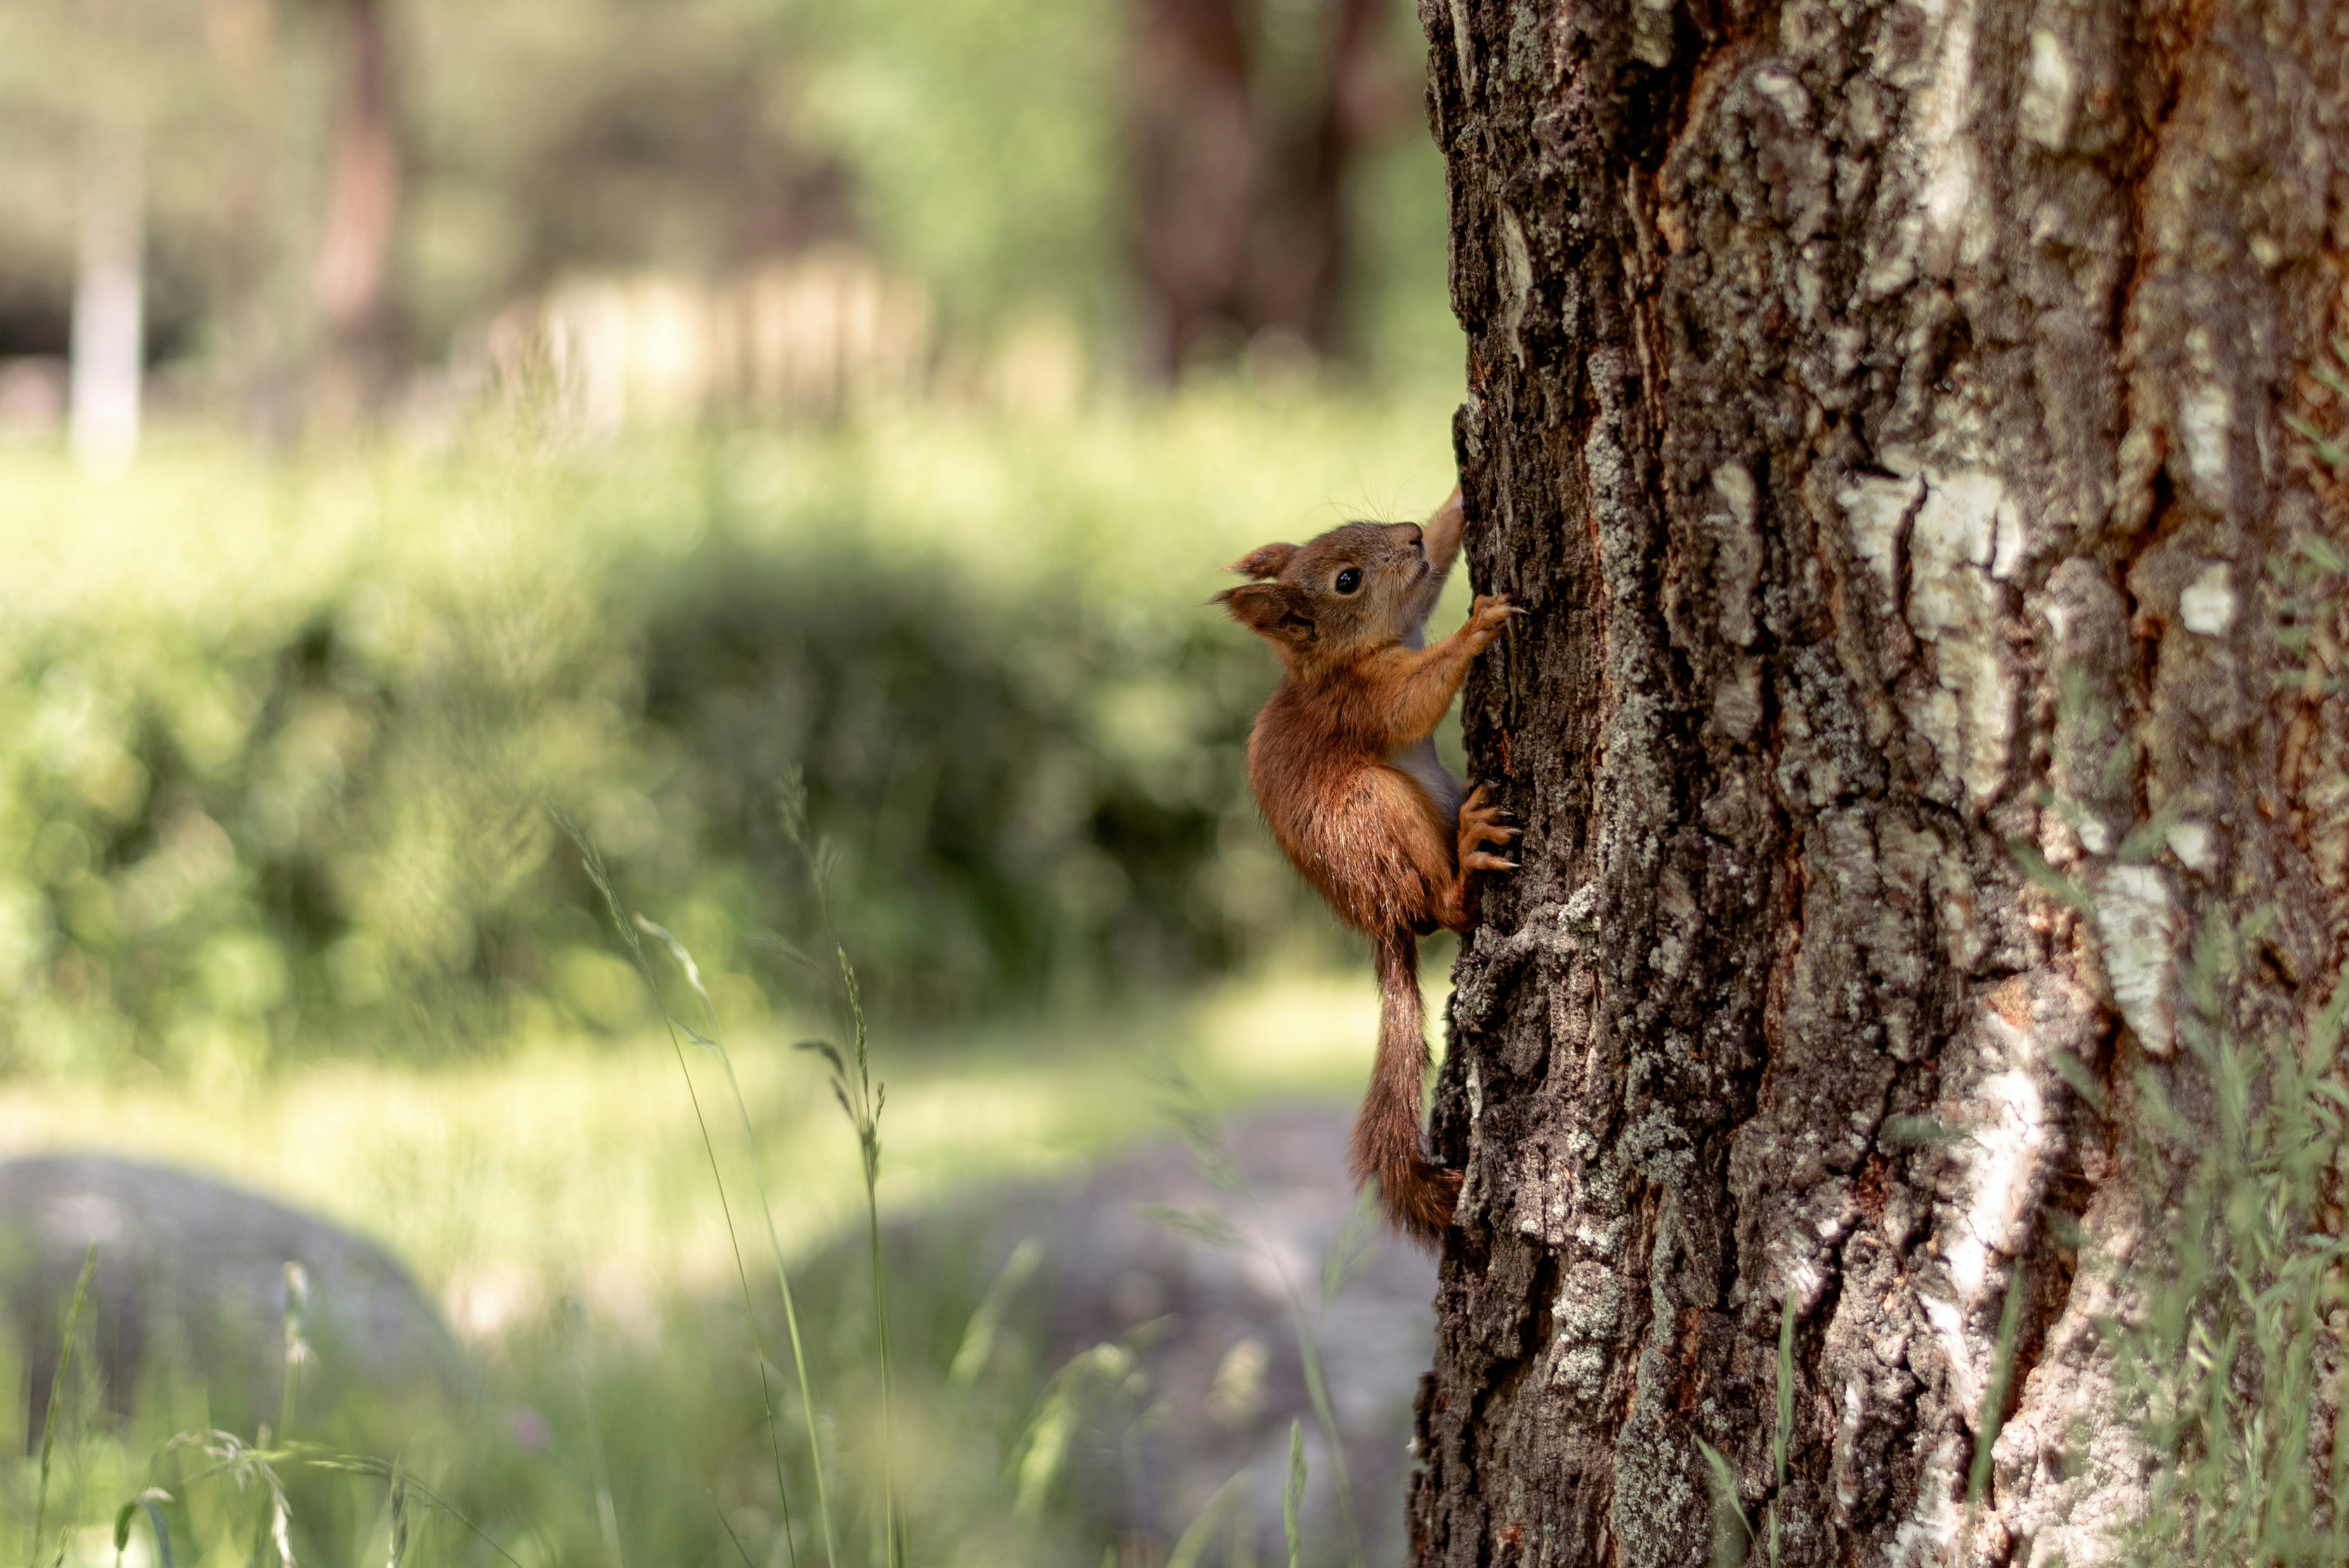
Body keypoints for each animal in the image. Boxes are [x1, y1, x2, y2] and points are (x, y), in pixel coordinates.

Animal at [1218, 486, 1522, 1246]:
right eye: (1346, 581)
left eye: (1354, 532)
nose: (1406, 534)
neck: (1348, 657)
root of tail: (1381, 919)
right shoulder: (1363, 702)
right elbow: (1414, 701)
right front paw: (1474, 631)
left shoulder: (1415, 607)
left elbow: (1439, 564)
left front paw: (1451, 505)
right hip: (1377, 811)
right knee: (1444, 912)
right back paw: (1466, 866)